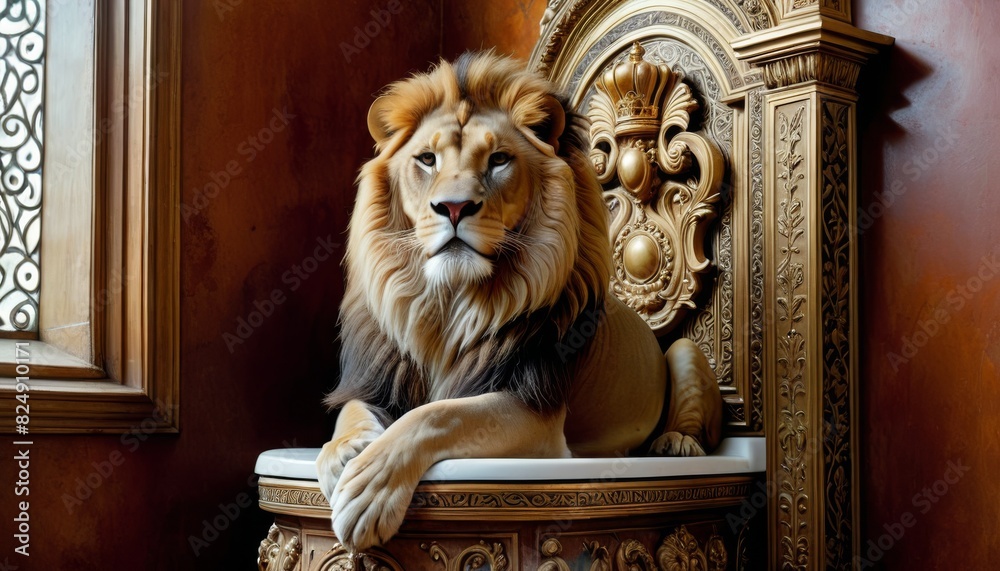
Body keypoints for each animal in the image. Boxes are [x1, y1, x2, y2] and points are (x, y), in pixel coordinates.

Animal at [317, 52, 722, 551]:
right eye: (427, 160)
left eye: (498, 160)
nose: (453, 208)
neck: (447, 305)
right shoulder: (376, 381)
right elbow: (350, 414)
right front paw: (346, 452)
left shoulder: (537, 414)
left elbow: (438, 416)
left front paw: (368, 488)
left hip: (683, 351)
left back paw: (675, 444)